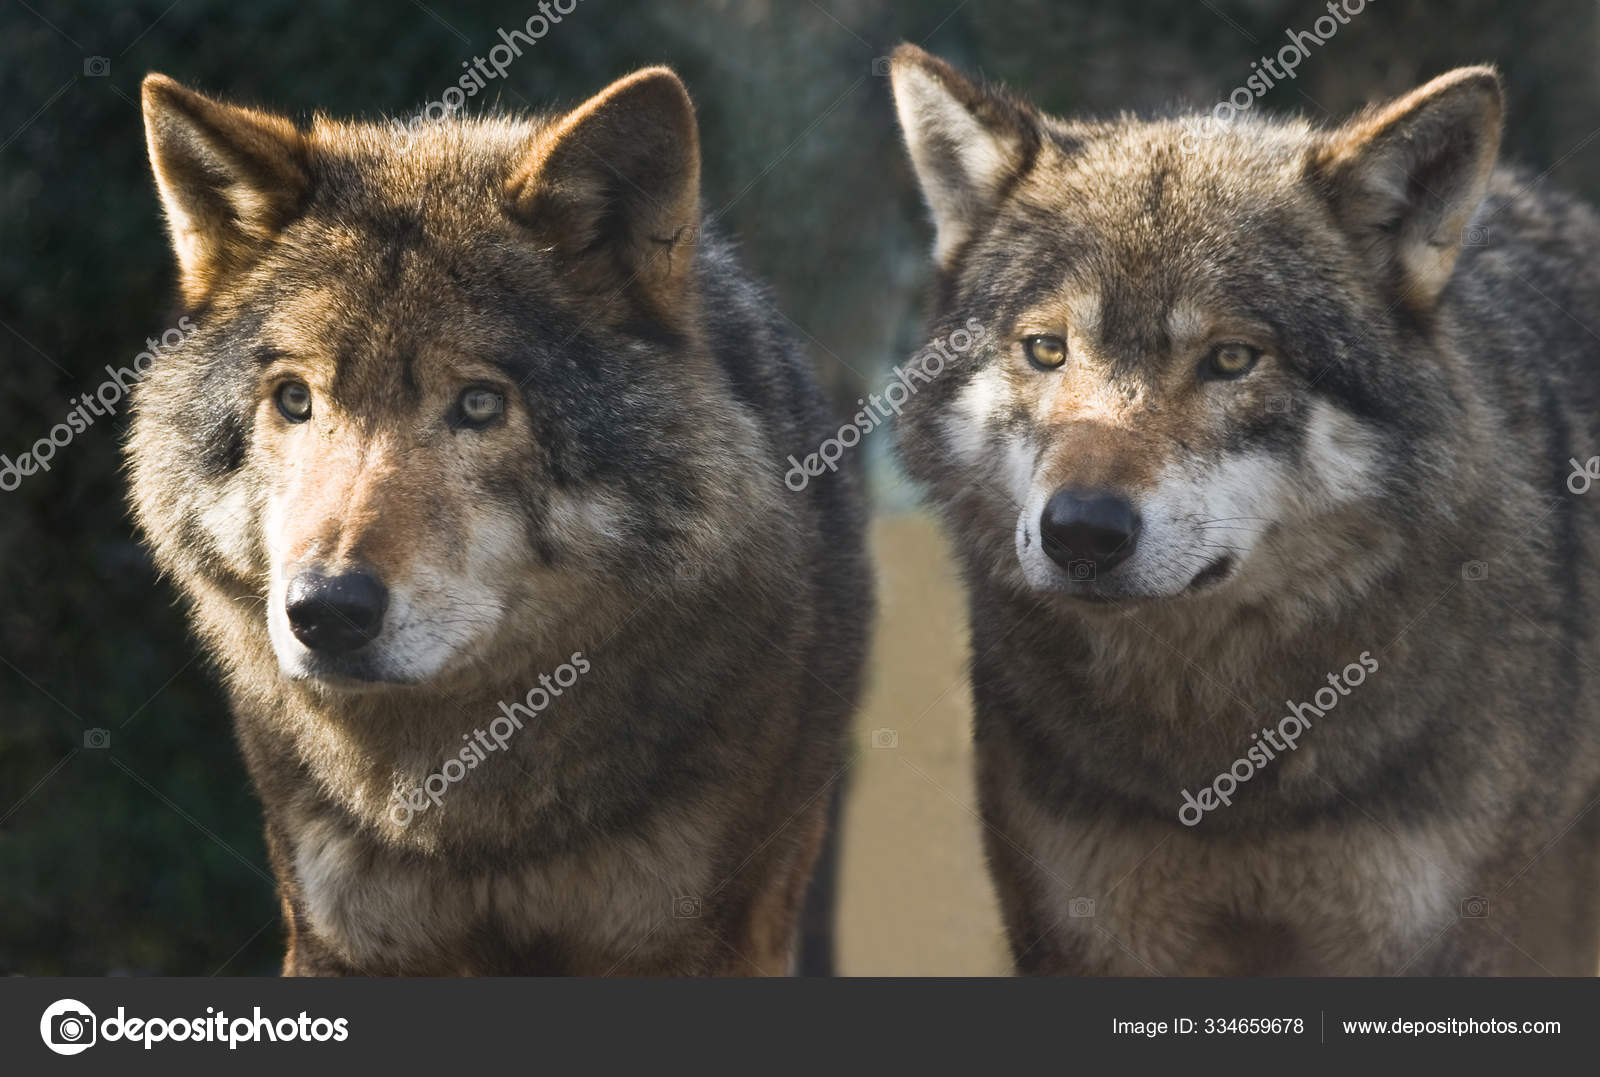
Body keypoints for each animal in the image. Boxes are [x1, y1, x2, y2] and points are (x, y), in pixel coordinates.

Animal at [128, 67, 871, 975]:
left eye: (479, 403)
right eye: (296, 400)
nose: (327, 611)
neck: (473, 817)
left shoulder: (696, 939)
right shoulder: (339, 938)